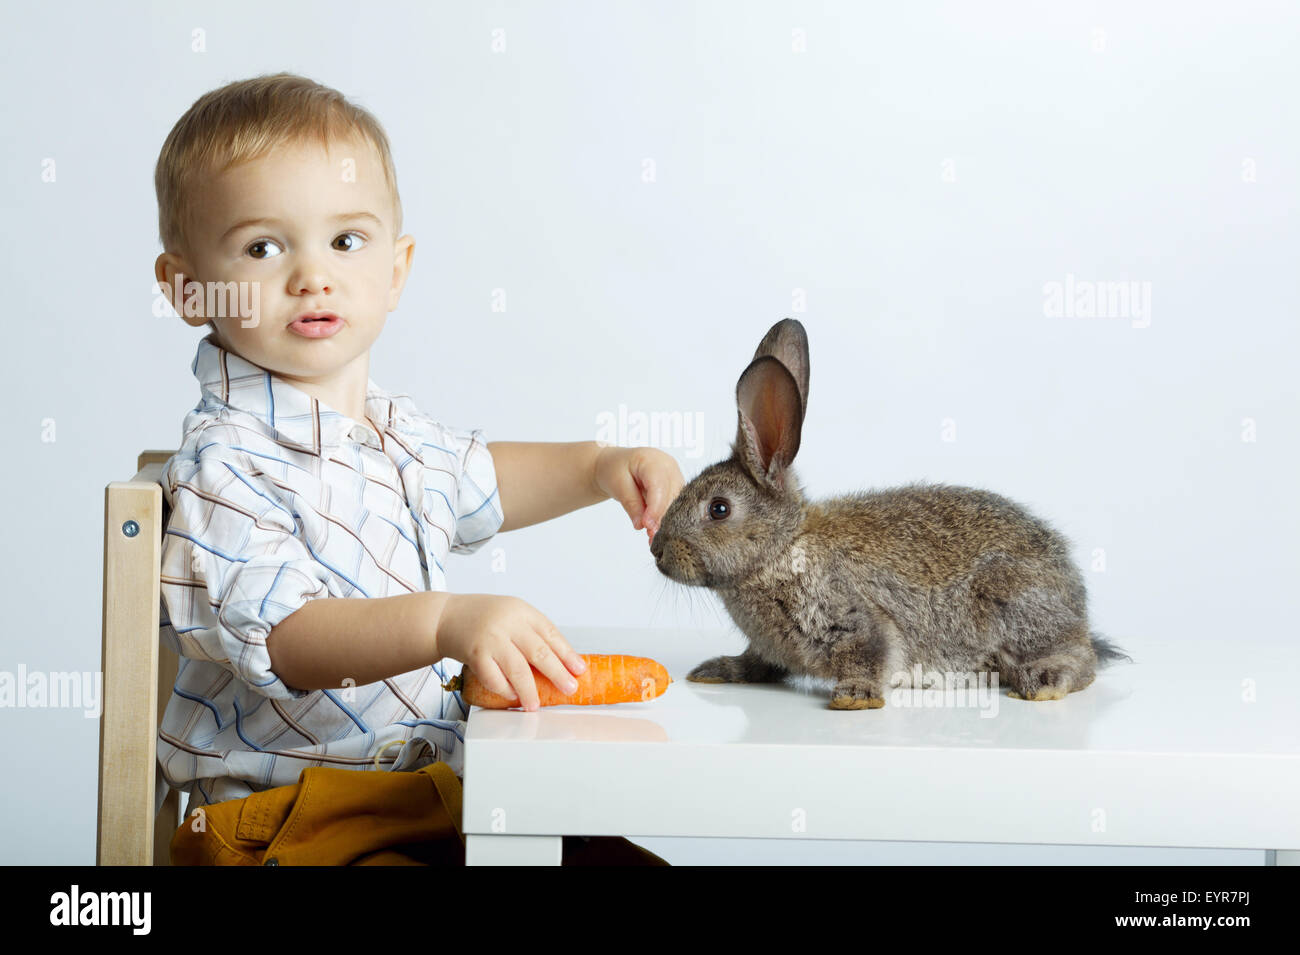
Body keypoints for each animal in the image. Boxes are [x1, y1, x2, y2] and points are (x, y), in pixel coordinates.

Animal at [649, 318, 1132, 709]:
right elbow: (757, 662)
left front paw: (855, 698)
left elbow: (869, 655)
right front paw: (718, 669)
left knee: (1081, 662)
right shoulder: (768, 648)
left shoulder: (855, 620)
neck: (783, 549)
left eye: (719, 509)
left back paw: (1043, 682)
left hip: (1017, 606)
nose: (657, 550)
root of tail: (1075, 599)